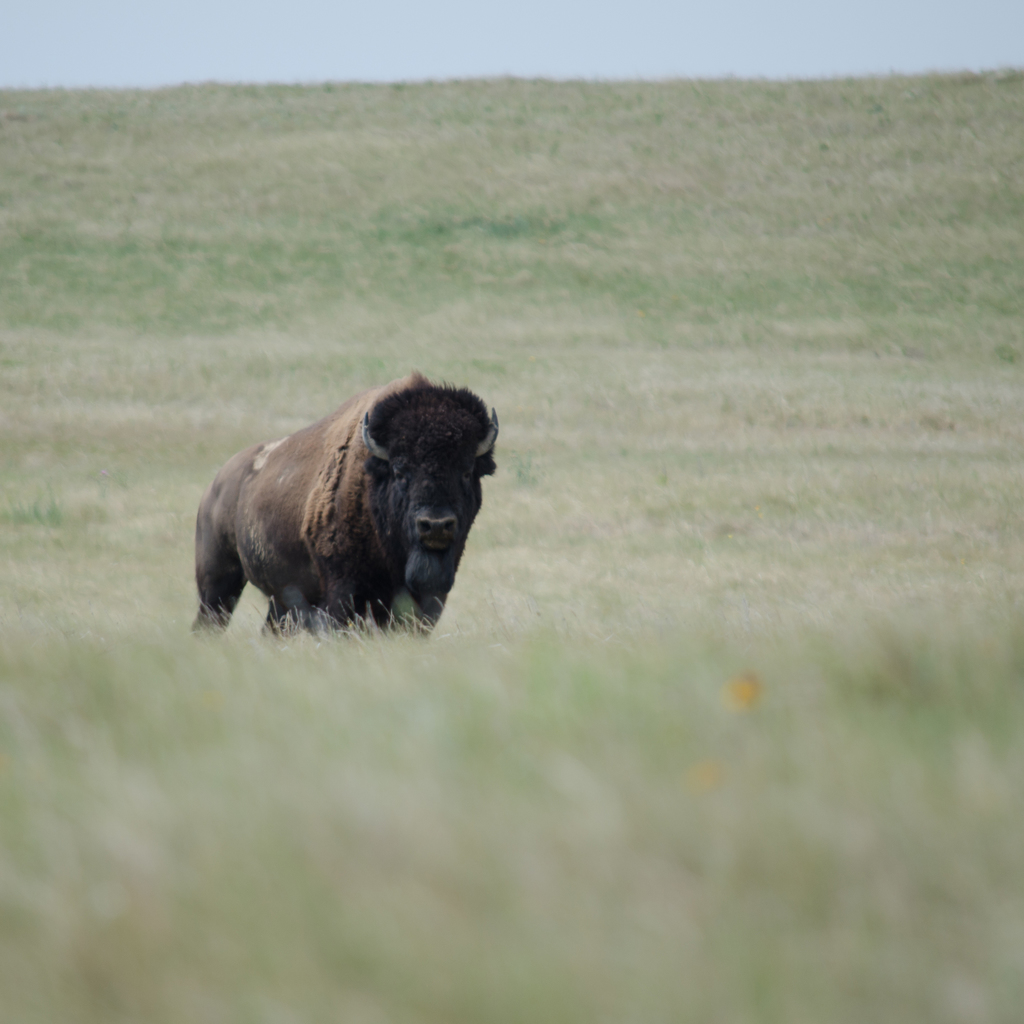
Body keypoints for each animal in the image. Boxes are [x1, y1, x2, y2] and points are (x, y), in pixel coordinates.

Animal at [192, 373, 497, 633]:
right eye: (400, 471)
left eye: (466, 471)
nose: (435, 525)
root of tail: (214, 487)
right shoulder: (342, 592)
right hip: (218, 583)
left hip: (280, 602)